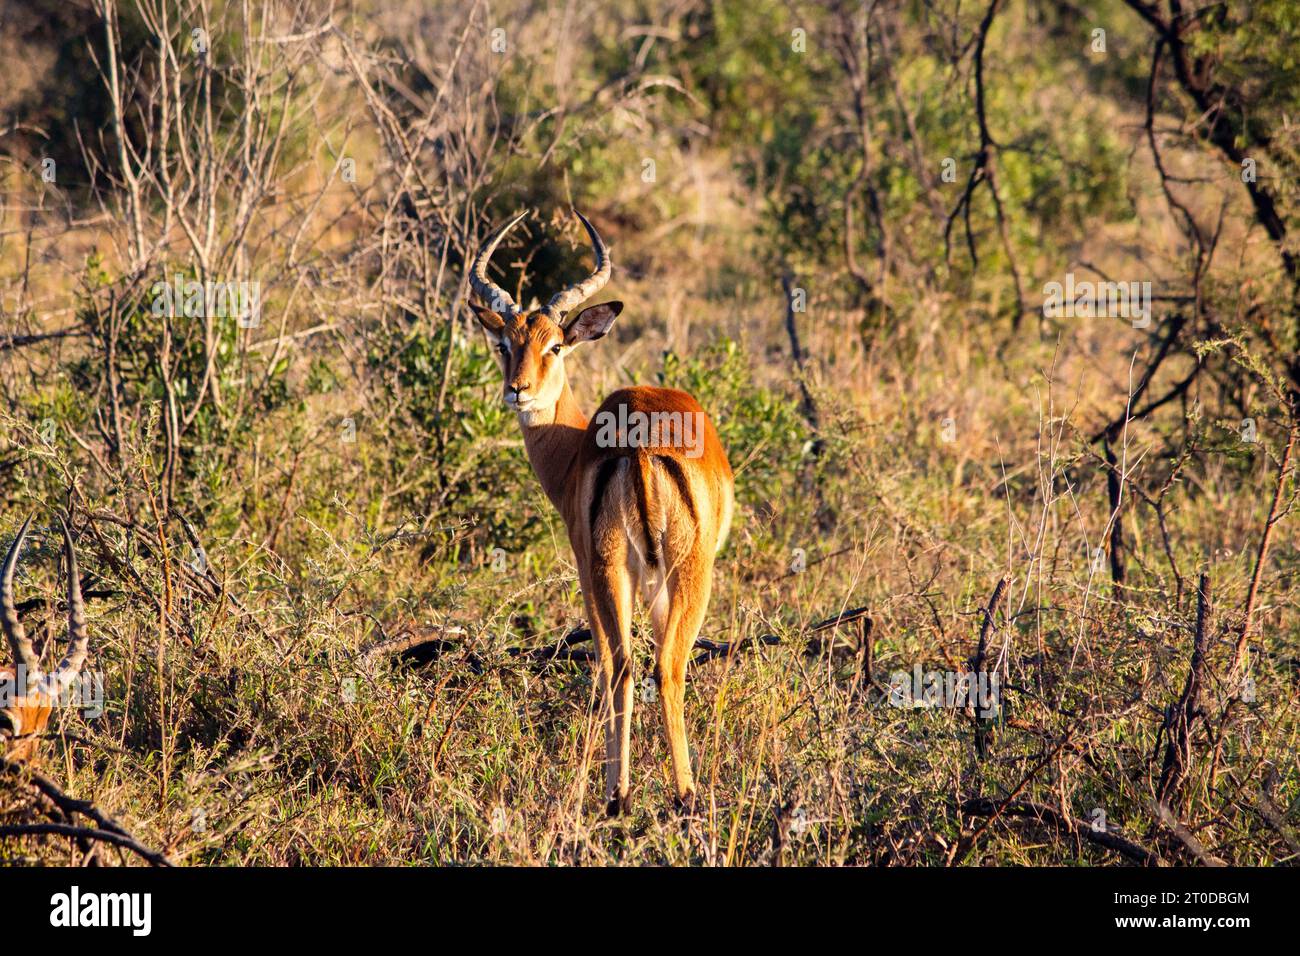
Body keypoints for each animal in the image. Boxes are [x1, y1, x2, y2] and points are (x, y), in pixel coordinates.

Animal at [468, 211, 734, 815]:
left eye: (554, 345)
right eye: (504, 343)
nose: (517, 390)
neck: (572, 450)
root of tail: (636, 440)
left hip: (619, 571)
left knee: (628, 665)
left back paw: (624, 795)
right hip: (666, 573)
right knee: (653, 666)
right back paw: (665, 795)